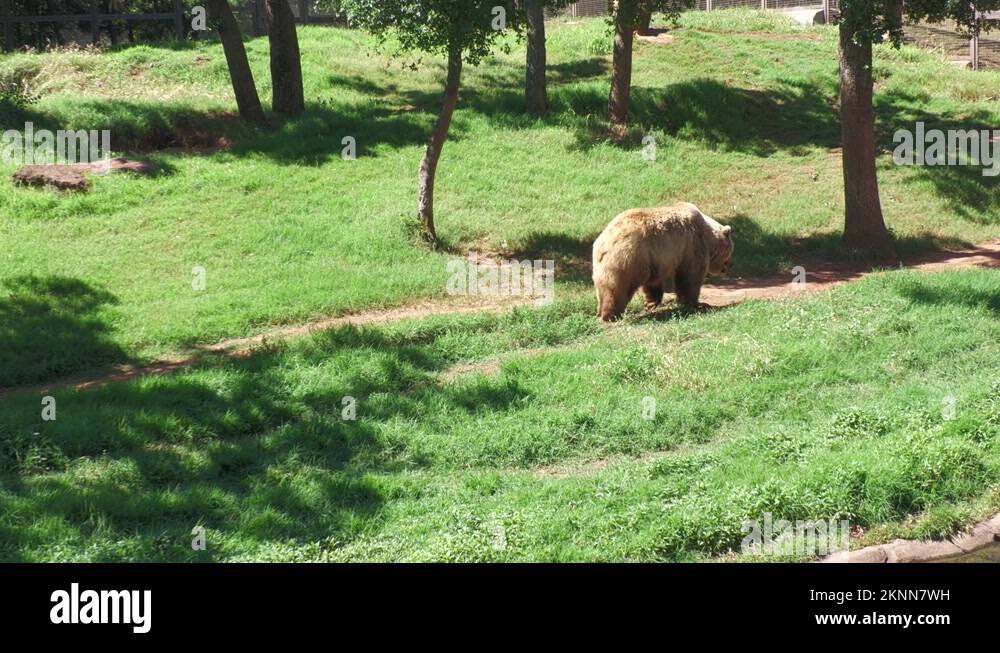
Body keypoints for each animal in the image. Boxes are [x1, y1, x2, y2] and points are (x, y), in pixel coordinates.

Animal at [592, 202, 733, 321]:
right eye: (729, 253)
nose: (725, 269)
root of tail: (604, 244)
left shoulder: (656, 259)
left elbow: (654, 281)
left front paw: (651, 303)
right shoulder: (692, 245)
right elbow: (691, 276)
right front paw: (695, 303)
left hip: (607, 265)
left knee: (605, 287)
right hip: (629, 258)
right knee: (619, 287)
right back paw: (610, 315)